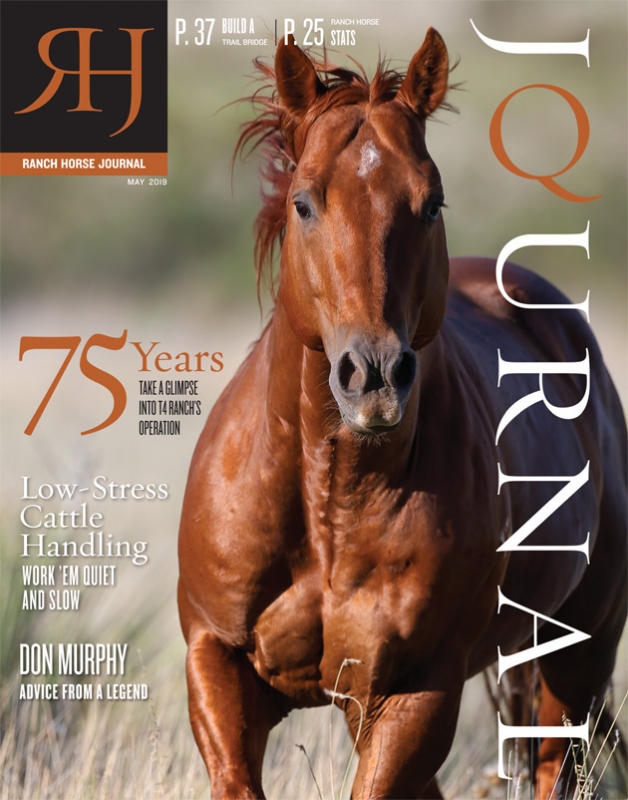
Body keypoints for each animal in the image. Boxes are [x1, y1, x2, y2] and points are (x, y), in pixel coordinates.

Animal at [178, 29, 627, 799]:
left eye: (431, 202)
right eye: (304, 202)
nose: (376, 377)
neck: (325, 507)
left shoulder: (415, 692)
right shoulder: (216, 662)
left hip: (578, 653)